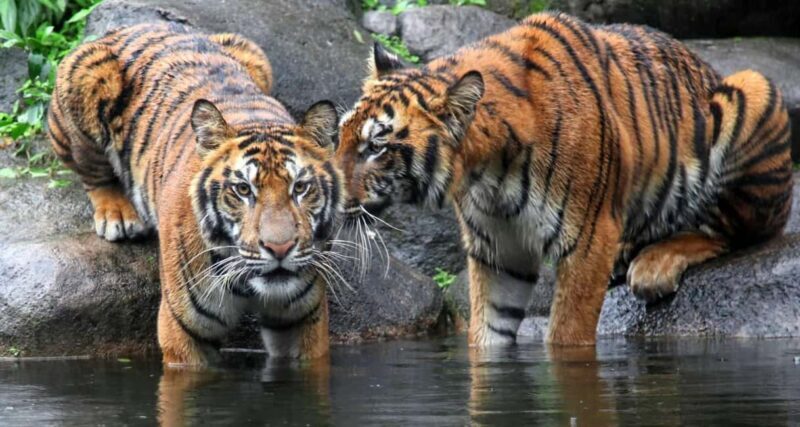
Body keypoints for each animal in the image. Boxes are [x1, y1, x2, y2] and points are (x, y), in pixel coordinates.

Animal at [47, 23, 344, 366]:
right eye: (243, 189)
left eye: (300, 187)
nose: (279, 248)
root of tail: (132, 26)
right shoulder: (184, 330)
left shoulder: (303, 320)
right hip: (84, 75)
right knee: (92, 171)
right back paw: (118, 215)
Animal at [335, 12, 792, 347]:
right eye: (341, 135)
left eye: (376, 147)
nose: (329, 198)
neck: (488, 173)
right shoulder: (498, 251)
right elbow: (487, 335)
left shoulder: (588, 239)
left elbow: (567, 336)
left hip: (752, 88)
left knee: (737, 232)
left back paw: (654, 266)